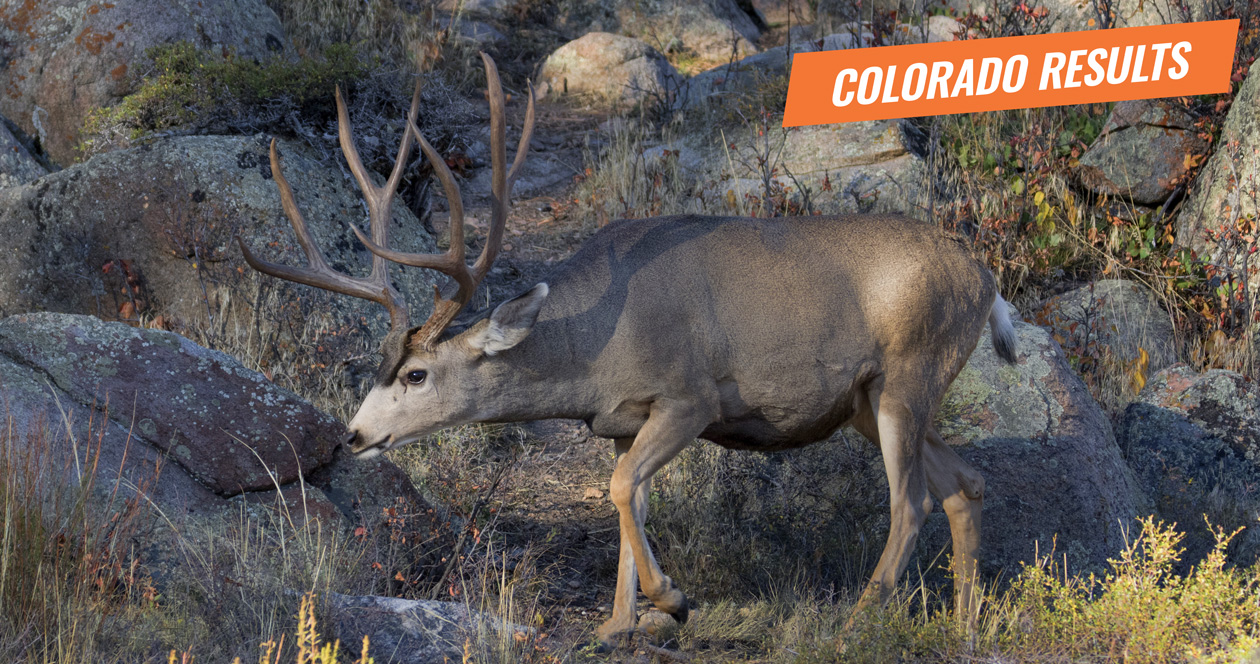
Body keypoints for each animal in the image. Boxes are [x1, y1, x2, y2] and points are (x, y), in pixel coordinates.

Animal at [239, 53, 1018, 647]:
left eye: (417, 373)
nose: (354, 435)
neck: (594, 347)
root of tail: (986, 279)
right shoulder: (619, 421)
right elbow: (627, 499)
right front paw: (616, 624)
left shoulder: (689, 395)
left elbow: (619, 492)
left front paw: (670, 600)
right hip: (865, 399)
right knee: (967, 482)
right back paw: (966, 628)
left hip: (908, 373)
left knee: (911, 500)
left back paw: (859, 620)